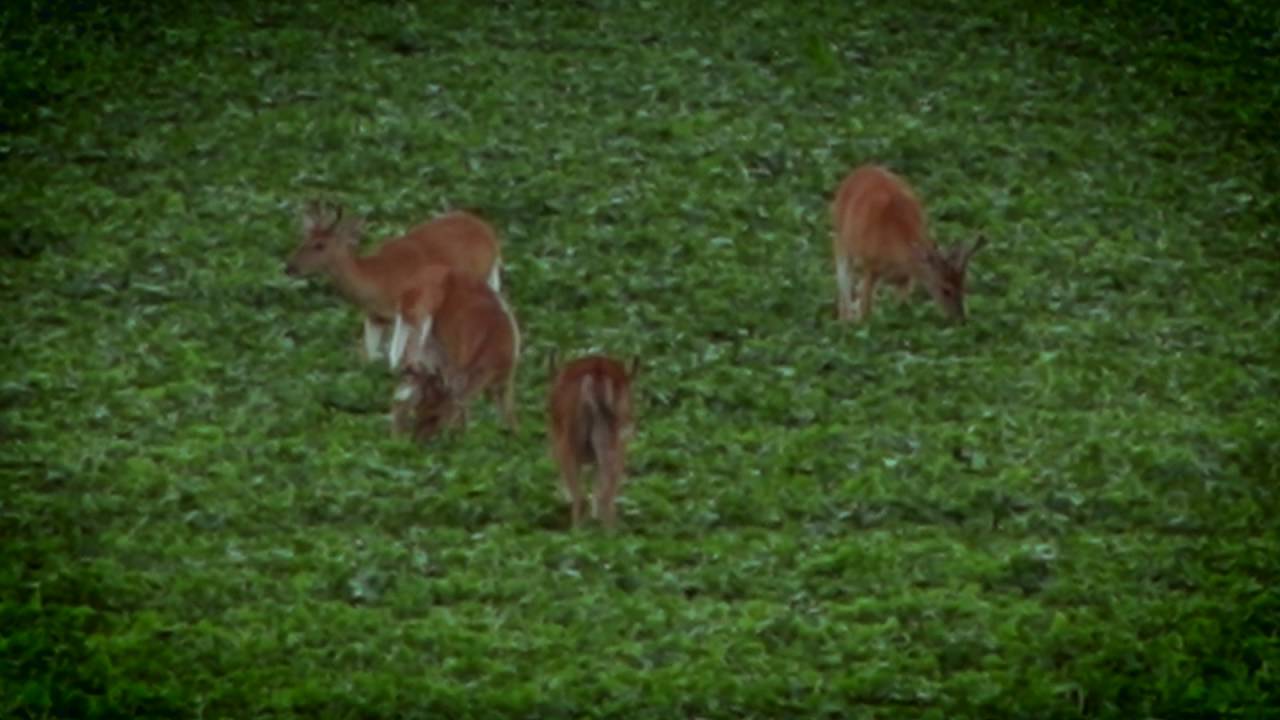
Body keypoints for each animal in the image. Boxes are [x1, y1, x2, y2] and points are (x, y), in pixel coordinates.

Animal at [284, 201, 502, 362]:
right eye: (301, 240)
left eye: (319, 245)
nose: (289, 267)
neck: (377, 280)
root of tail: (488, 231)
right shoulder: (376, 316)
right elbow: (374, 357)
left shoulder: (414, 308)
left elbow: (399, 356)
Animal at [386, 266, 519, 438]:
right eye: (419, 411)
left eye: (435, 415)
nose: (418, 440)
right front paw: (462, 437)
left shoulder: (507, 376)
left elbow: (508, 412)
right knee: (402, 391)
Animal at [831, 164, 986, 323]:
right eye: (945, 290)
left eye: (964, 286)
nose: (961, 319)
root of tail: (862, 168)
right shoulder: (870, 265)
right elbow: (865, 311)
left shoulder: (906, 278)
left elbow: (898, 308)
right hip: (841, 238)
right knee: (844, 280)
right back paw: (845, 319)